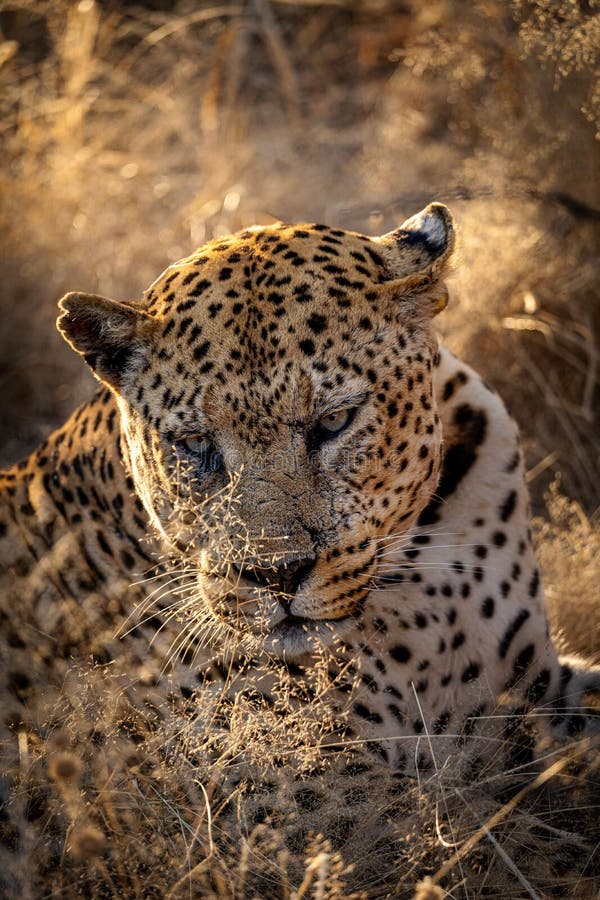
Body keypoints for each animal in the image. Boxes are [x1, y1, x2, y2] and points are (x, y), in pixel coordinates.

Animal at [1, 202, 599, 895]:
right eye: (193, 443)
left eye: (334, 422)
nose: (276, 575)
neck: (420, 571)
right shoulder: (285, 783)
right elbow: (503, 843)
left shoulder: (535, 683)